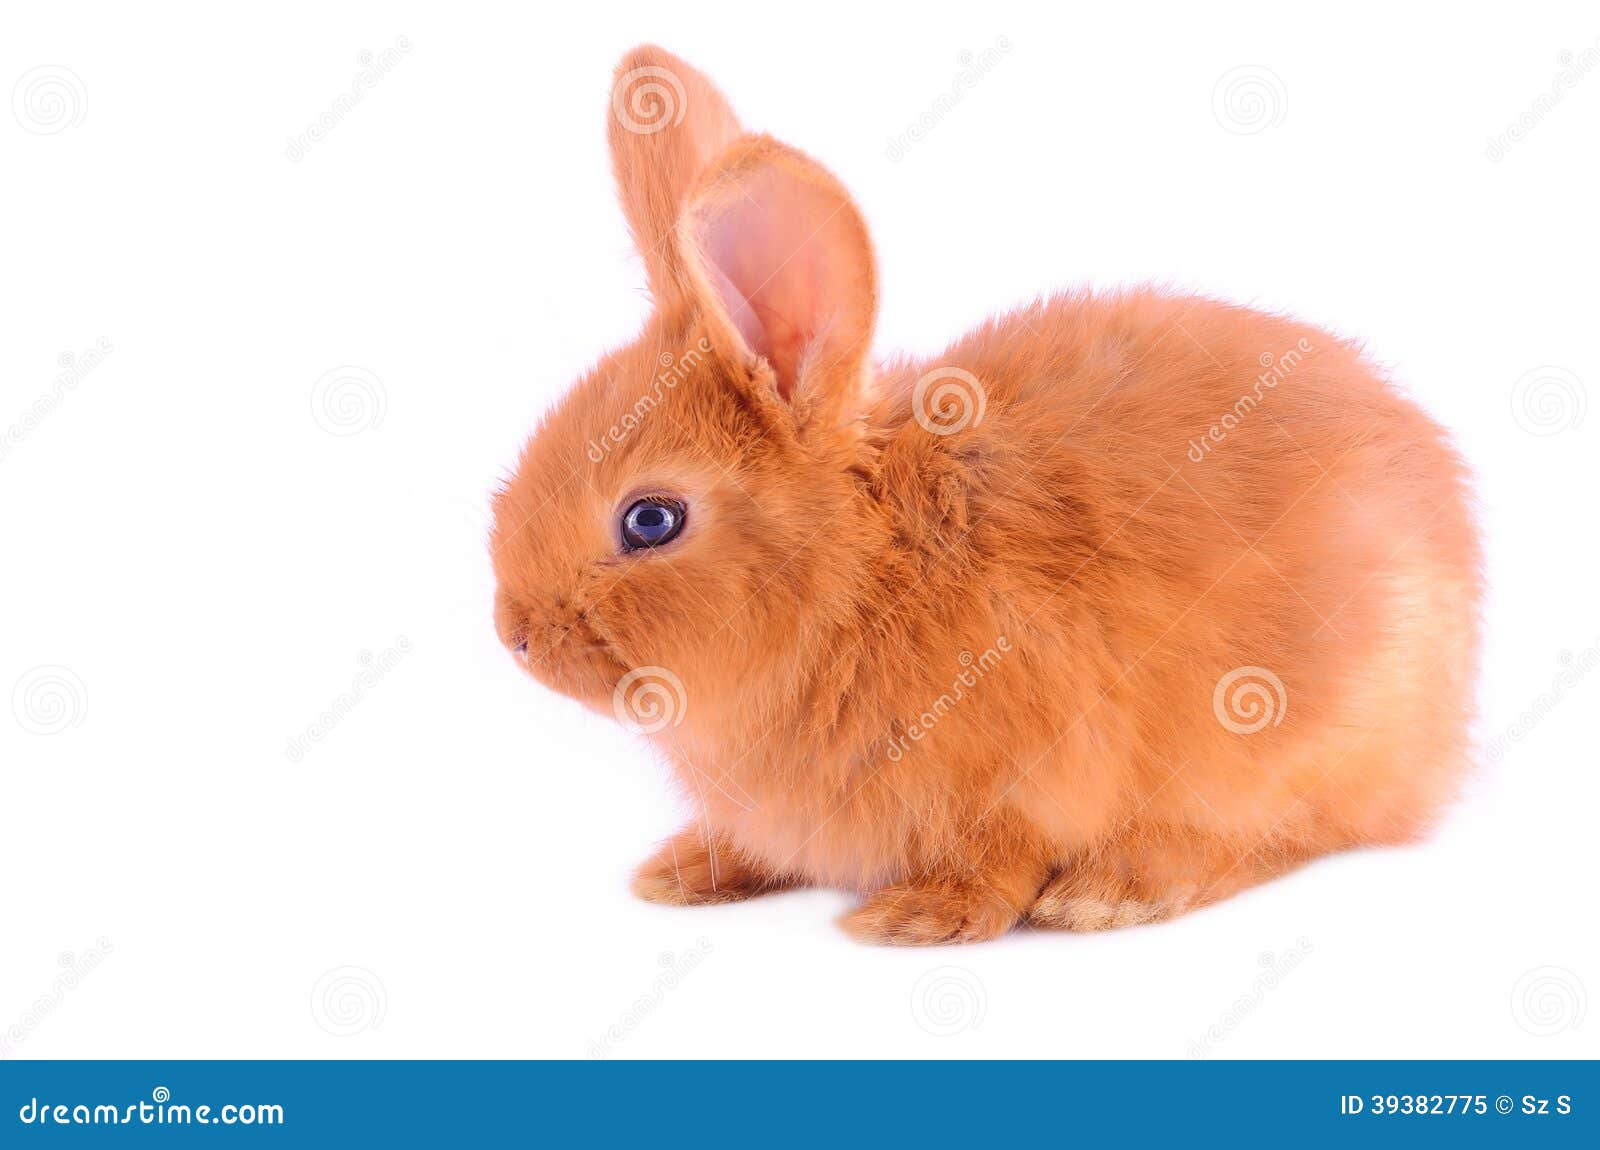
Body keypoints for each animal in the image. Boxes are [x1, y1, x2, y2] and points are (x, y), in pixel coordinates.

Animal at [489, 45, 1482, 944]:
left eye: (651, 519)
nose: (516, 636)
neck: (863, 570)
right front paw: (685, 872)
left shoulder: (1029, 775)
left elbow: (996, 858)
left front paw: (915, 918)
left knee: (1280, 836)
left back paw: (1115, 891)